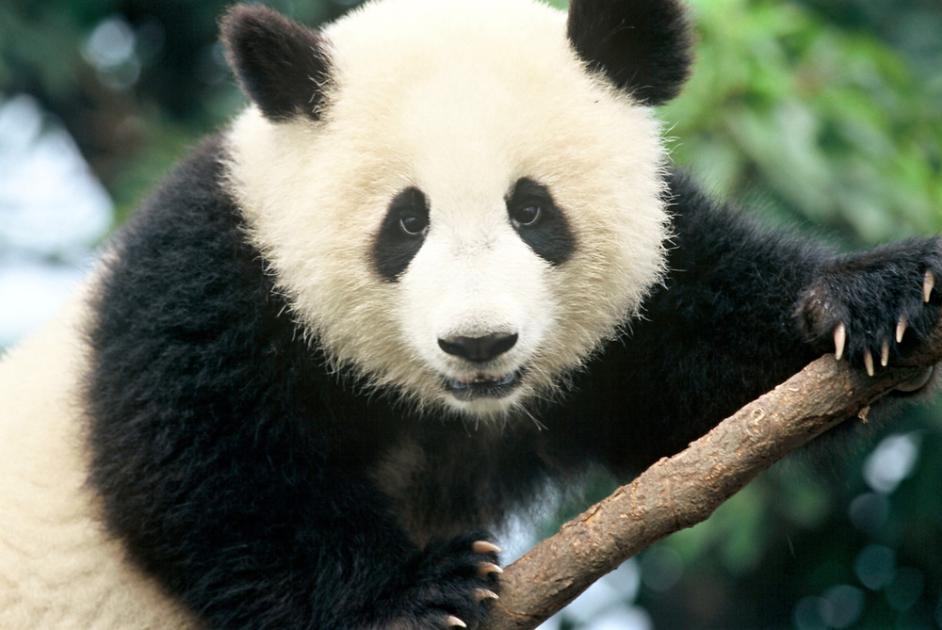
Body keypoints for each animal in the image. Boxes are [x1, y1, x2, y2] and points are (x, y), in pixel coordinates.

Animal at [1, 0, 940, 628]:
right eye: (405, 222)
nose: (479, 343)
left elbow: (696, 370)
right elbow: (202, 474)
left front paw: (877, 297)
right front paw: (414, 594)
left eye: (532, 210)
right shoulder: (213, 275)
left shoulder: (644, 309)